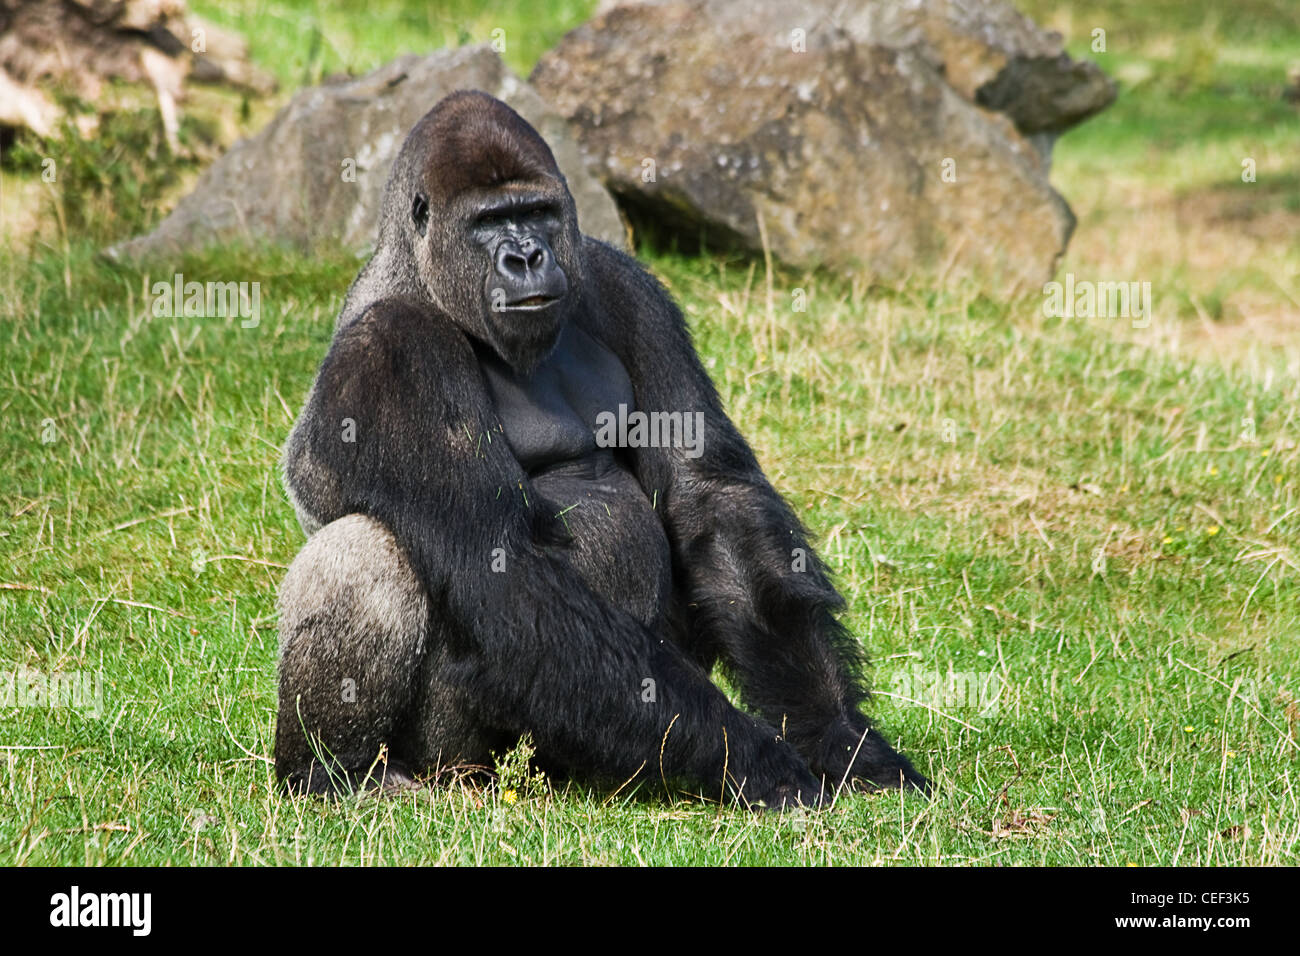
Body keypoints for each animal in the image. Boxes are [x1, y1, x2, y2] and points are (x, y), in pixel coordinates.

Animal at [276, 90, 928, 808]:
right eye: (488, 222)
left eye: (537, 213)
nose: (527, 257)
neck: (422, 276)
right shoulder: (392, 354)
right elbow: (506, 566)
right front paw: (754, 757)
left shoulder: (626, 284)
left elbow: (708, 500)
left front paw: (837, 735)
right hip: (464, 762)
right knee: (367, 549)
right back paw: (334, 772)